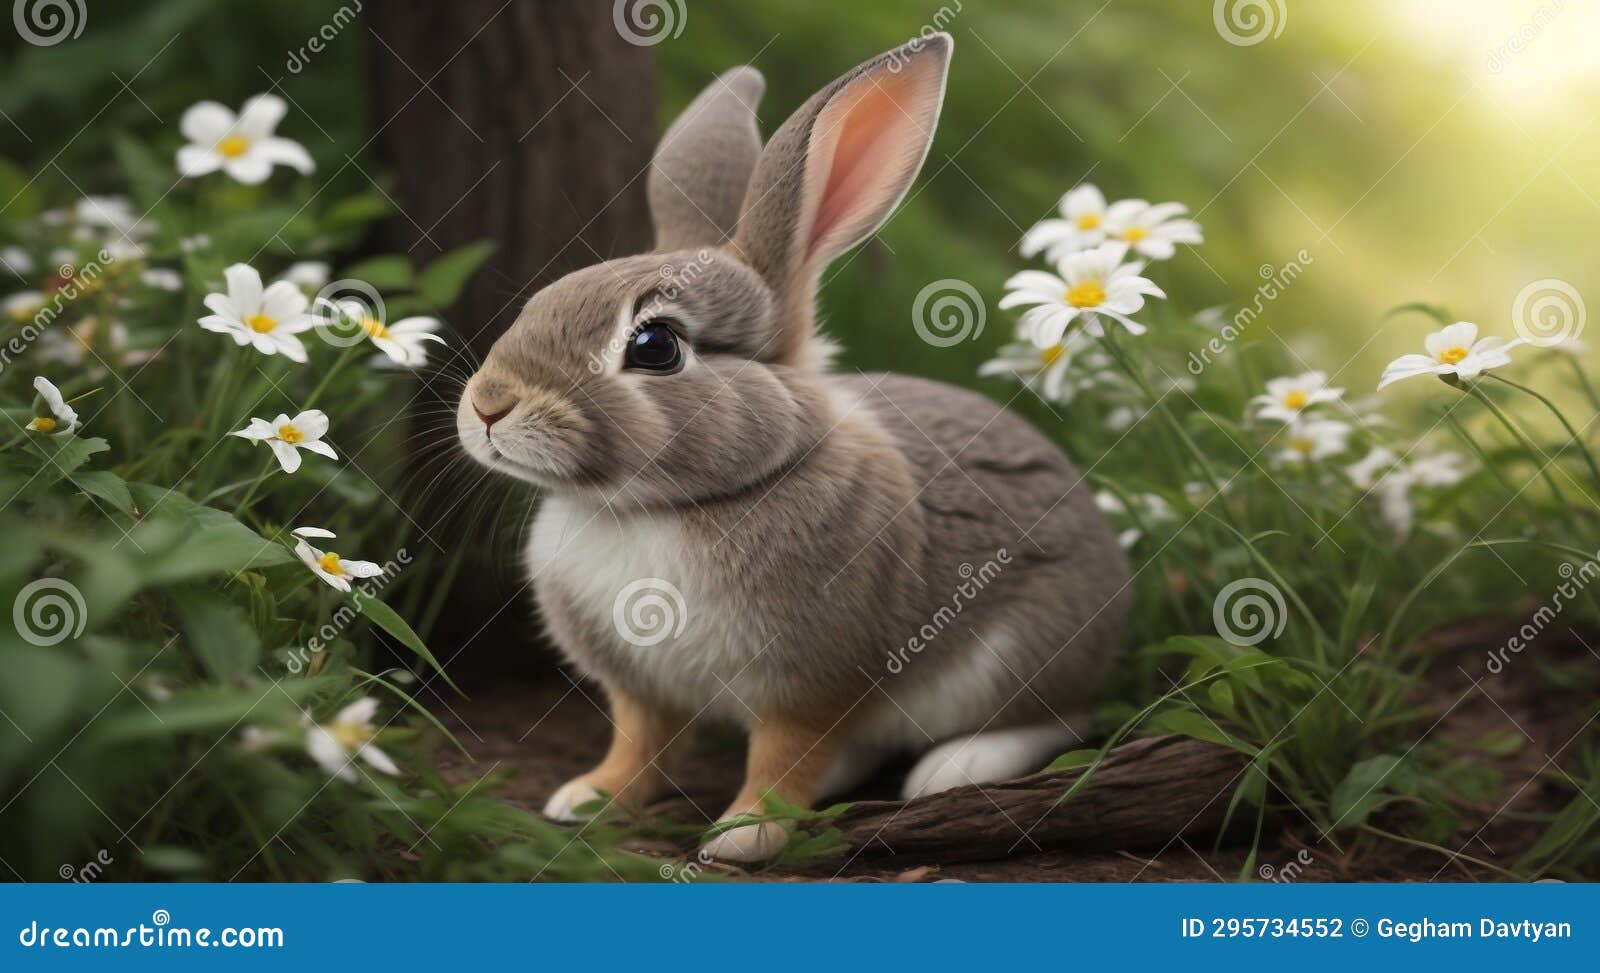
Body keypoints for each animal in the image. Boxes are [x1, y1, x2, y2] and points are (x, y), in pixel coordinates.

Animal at [456, 32, 1130, 862]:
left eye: (654, 346)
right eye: (545, 297)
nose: (488, 405)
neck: (659, 507)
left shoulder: (808, 681)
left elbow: (783, 756)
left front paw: (743, 836)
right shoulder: (640, 687)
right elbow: (639, 743)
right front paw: (586, 798)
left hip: (1021, 651)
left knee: (1059, 715)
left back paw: (953, 768)